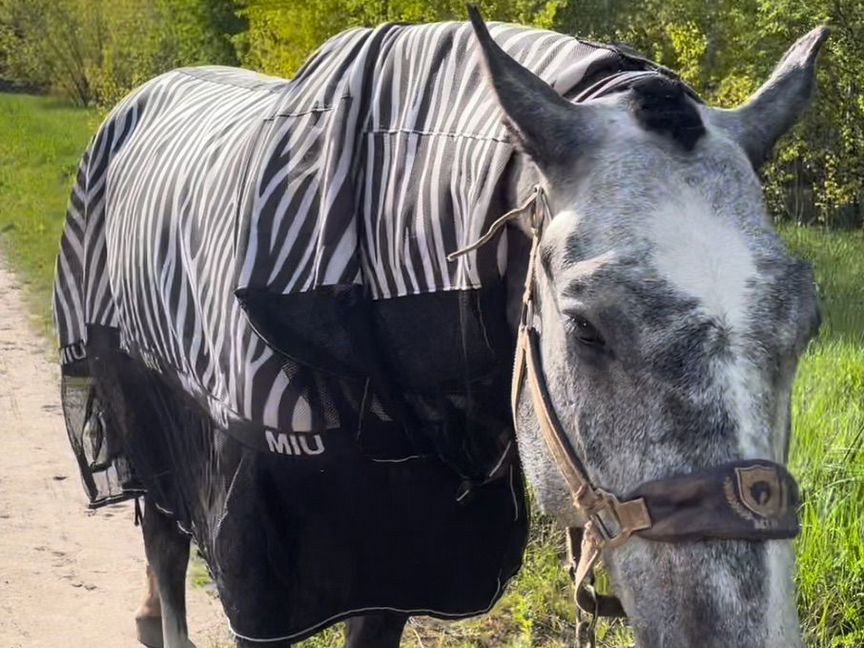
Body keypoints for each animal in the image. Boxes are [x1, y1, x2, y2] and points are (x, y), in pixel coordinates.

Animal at [53, 9, 827, 648]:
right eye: (585, 329)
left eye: (807, 324)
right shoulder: (260, 582)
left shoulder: (397, 572)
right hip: (143, 429)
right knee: (164, 546)